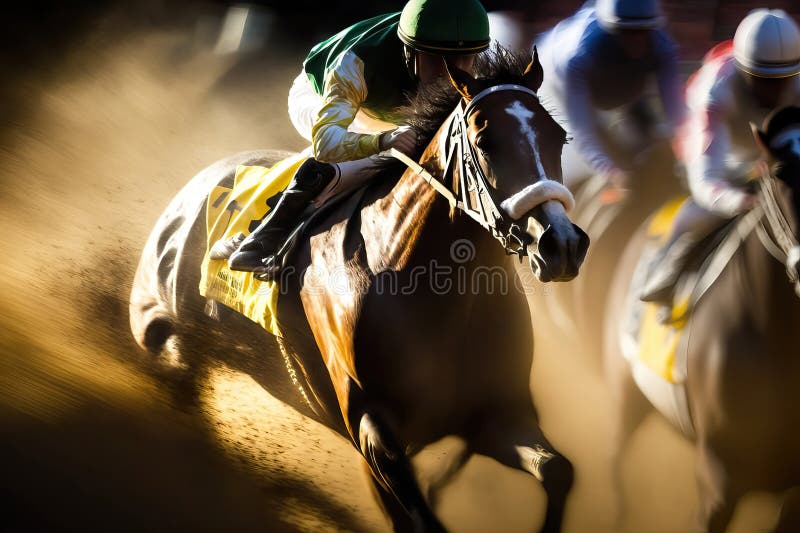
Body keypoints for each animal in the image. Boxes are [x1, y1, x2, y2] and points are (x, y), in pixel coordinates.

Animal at [129, 48, 589, 532]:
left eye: (559, 138)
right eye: (485, 142)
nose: (561, 244)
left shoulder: (496, 416)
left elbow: (558, 470)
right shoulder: (372, 432)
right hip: (170, 332)